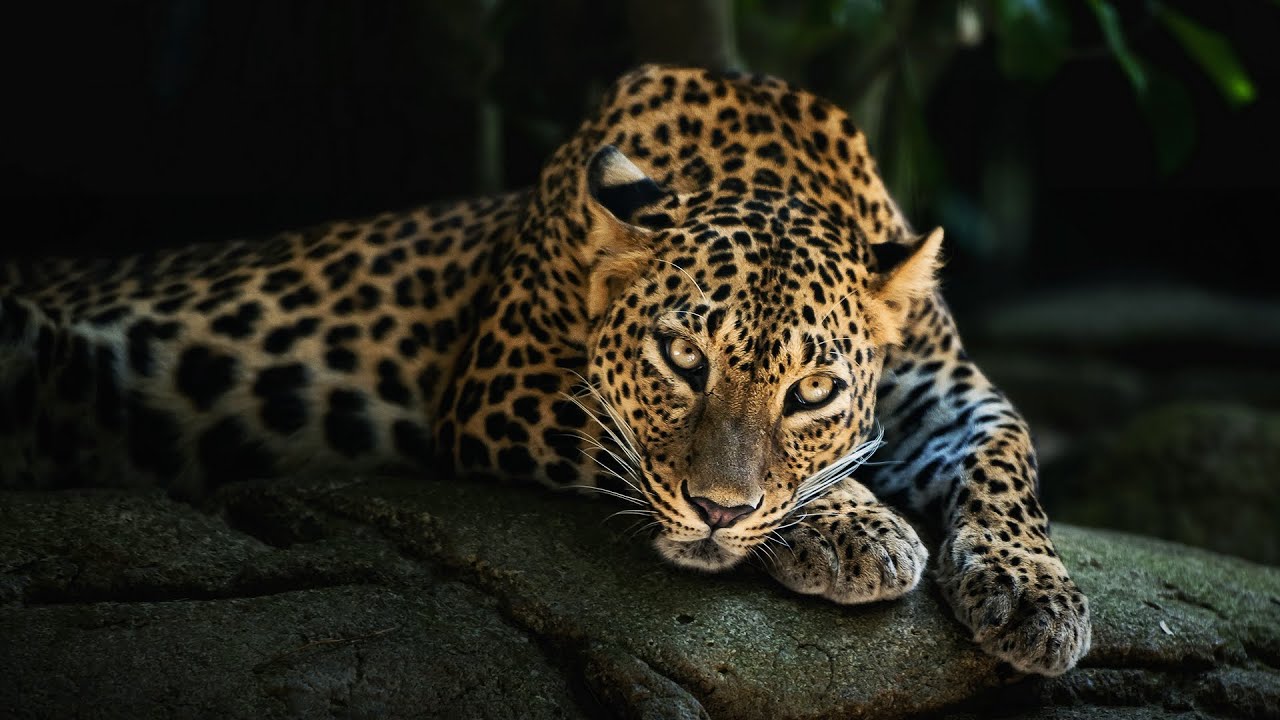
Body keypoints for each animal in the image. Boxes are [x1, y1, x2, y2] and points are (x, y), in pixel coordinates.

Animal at [0, 65, 1090, 676]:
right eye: (680, 358)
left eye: (812, 391)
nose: (720, 514)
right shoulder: (501, 384)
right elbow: (636, 447)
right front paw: (858, 527)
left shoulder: (950, 391)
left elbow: (1010, 456)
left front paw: (1034, 593)